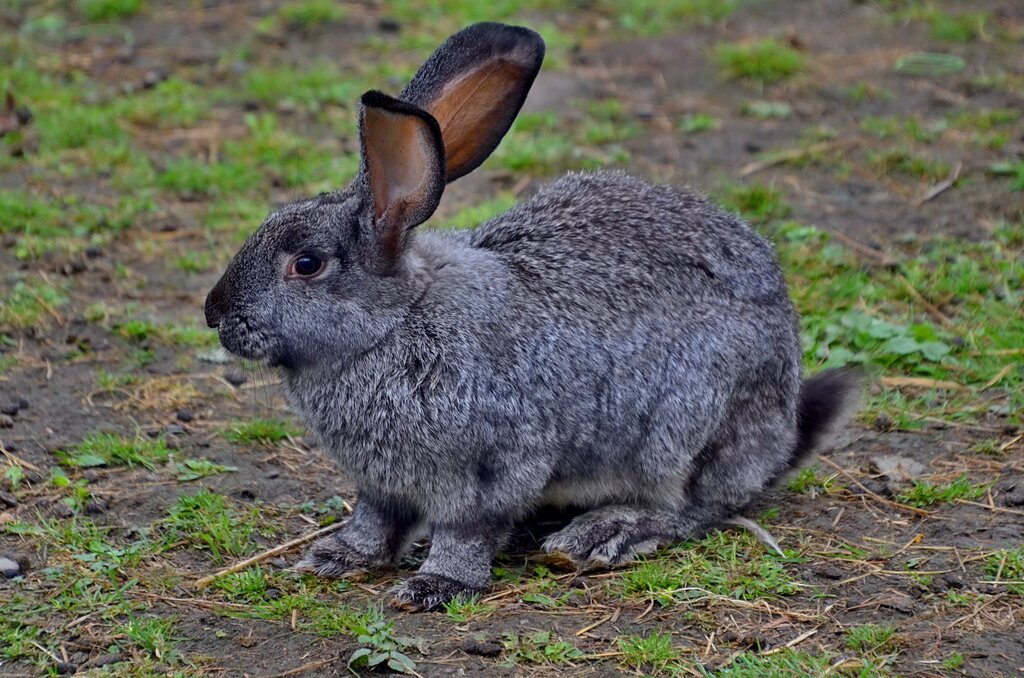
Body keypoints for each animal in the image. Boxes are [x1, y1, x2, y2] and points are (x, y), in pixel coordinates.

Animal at [205, 22, 859, 611]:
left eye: (306, 264)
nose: (214, 313)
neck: (395, 322)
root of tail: (783, 423)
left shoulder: (495, 466)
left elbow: (465, 533)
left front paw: (434, 586)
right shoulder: (381, 483)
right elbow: (375, 521)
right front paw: (338, 557)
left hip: (691, 420)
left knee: (694, 506)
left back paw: (600, 534)